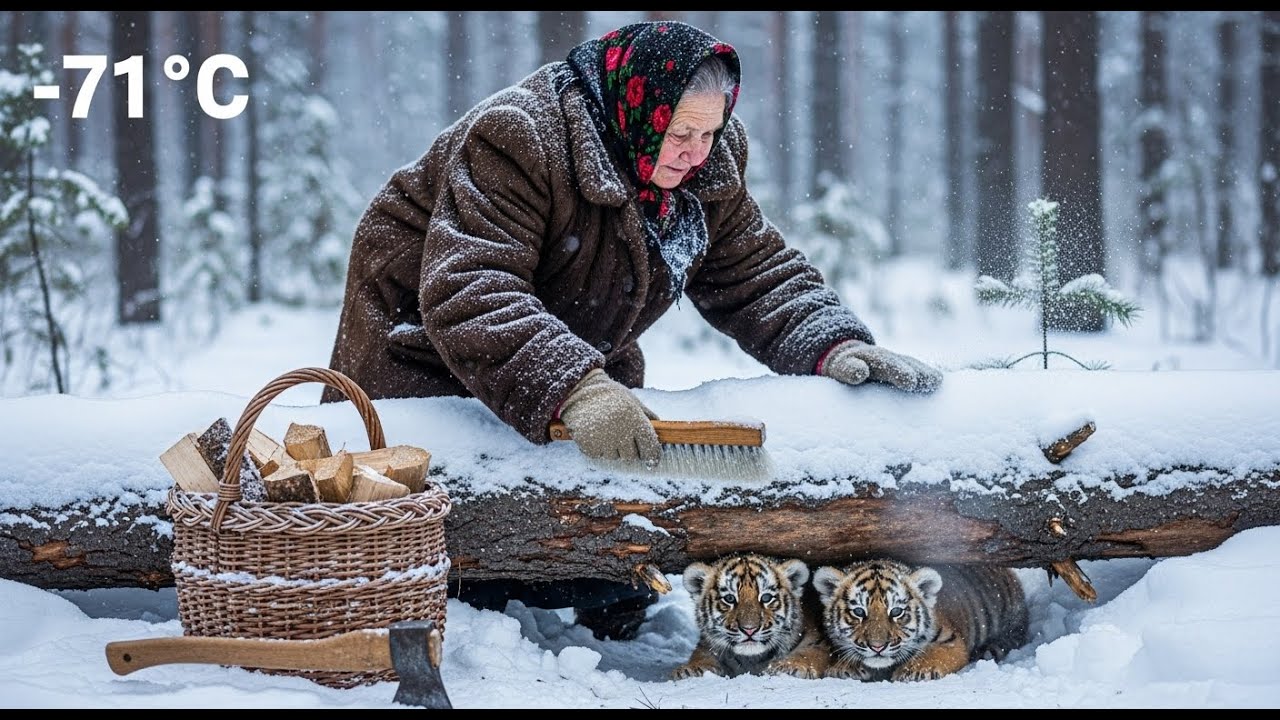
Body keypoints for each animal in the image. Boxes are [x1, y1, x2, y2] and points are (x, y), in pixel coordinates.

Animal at [671, 553, 831, 680]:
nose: (749, 629)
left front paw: (790, 666)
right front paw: (691, 669)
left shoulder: (817, 639)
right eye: (729, 598)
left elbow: (809, 651)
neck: (752, 660)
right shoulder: (707, 645)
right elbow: (701, 655)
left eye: (766, 598)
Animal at [813, 559, 1029, 682]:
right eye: (859, 611)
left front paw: (915, 671)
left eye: (896, 611)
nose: (877, 647)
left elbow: (932, 654)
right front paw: (844, 668)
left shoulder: (951, 641)